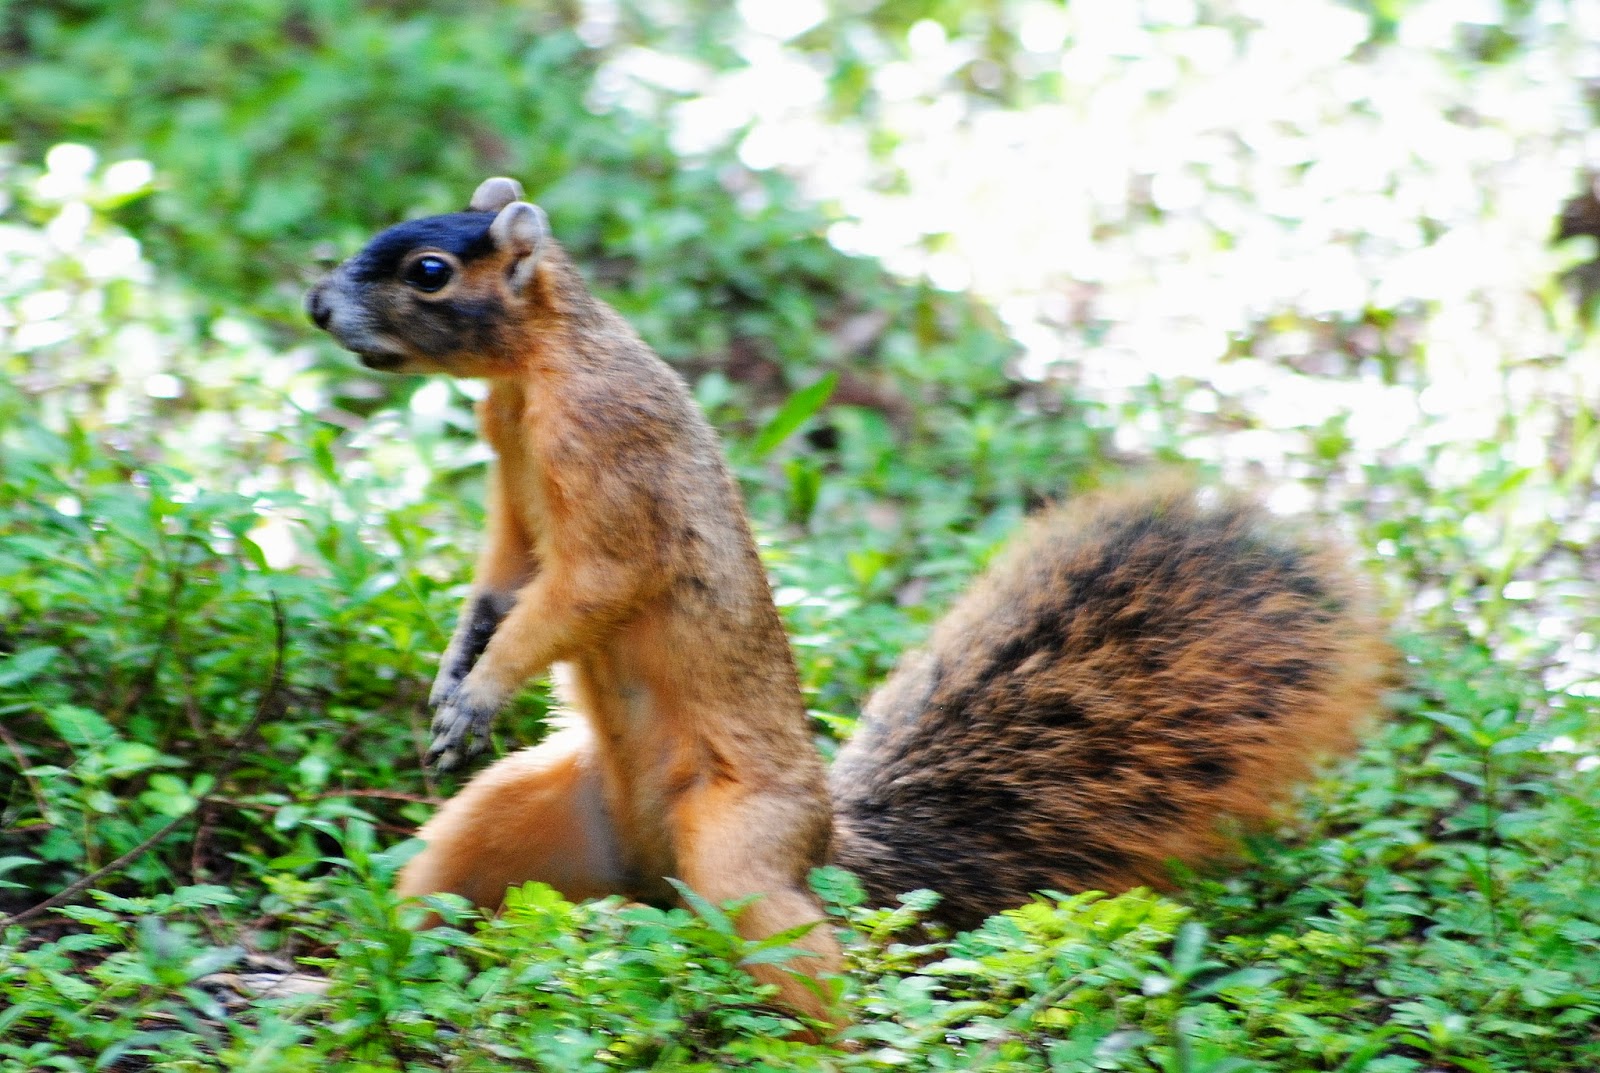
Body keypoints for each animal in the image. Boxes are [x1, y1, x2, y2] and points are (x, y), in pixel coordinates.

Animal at [306, 177, 1389, 1028]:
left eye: (429, 271)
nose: (317, 304)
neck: (536, 372)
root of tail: (824, 846)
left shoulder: (612, 463)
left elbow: (584, 588)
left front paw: (481, 690)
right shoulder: (511, 494)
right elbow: (500, 581)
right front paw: (454, 676)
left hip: (741, 849)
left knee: (811, 965)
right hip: (526, 816)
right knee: (450, 875)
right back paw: (363, 964)